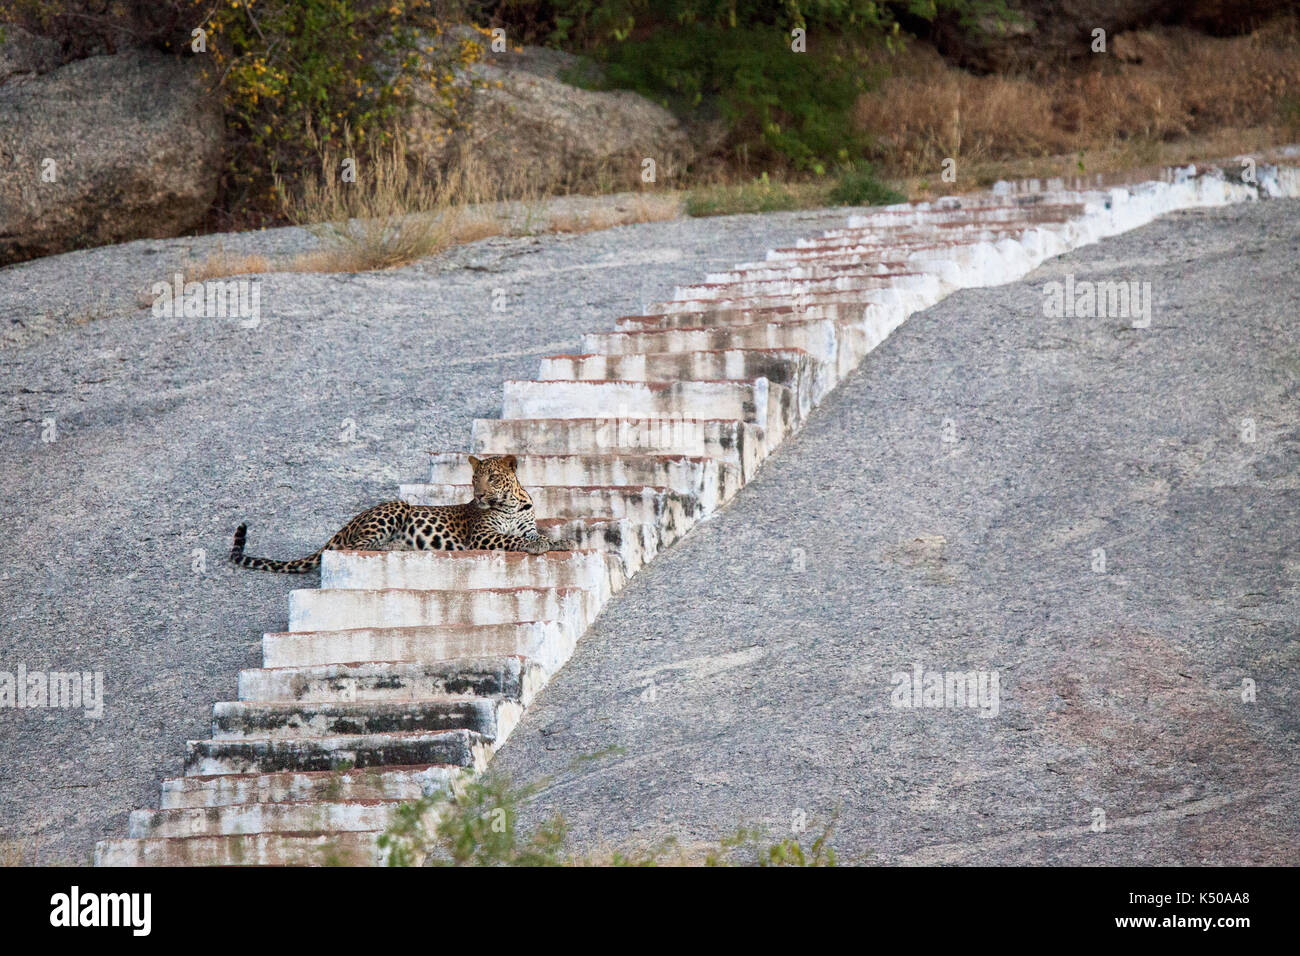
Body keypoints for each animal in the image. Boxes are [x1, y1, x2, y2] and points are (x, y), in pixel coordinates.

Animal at [229, 455, 573, 573]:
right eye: (476, 478)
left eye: (493, 478)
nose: (479, 495)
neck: (510, 503)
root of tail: (351, 520)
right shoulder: (482, 536)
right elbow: (511, 540)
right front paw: (537, 546)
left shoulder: (526, 524)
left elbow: (537, 533)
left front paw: (559, 540)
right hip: (398, 507)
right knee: (357, 545)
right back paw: (394, 545)